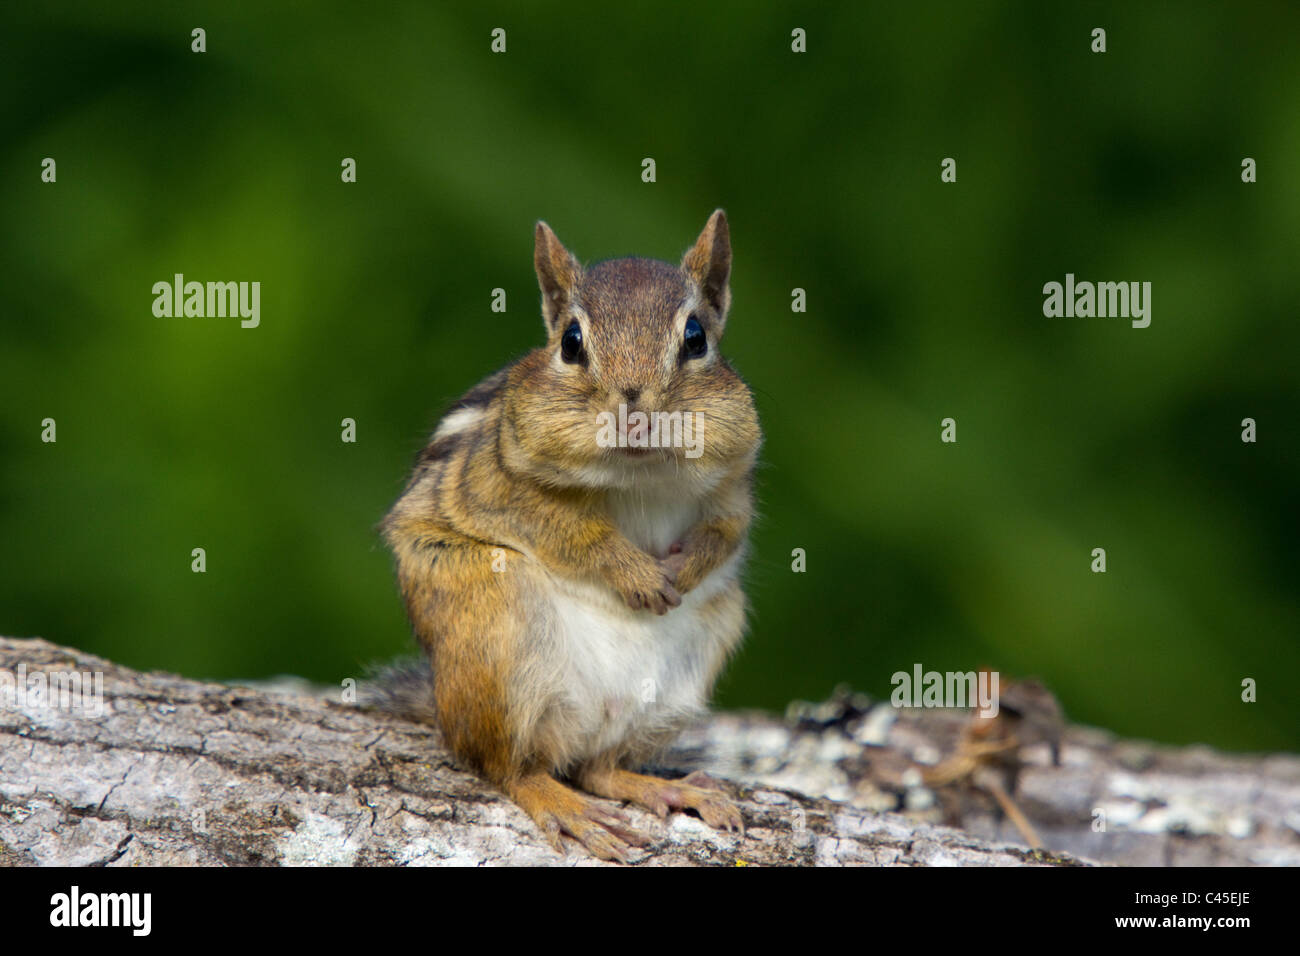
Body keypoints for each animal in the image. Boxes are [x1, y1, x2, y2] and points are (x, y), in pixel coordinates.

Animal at [377, 210, 760, 861]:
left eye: (696, 338)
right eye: (571, 343)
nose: (634, 411)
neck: (640, 476)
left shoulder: (734, 486)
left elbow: (725, 532)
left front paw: (682, 569)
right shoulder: (499, 481)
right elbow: (568, 531)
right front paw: (636, 574)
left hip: (691, 660)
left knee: (596, 768)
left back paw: (666, 788)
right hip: (492, 623)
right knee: (508, 767)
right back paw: (563, 807)